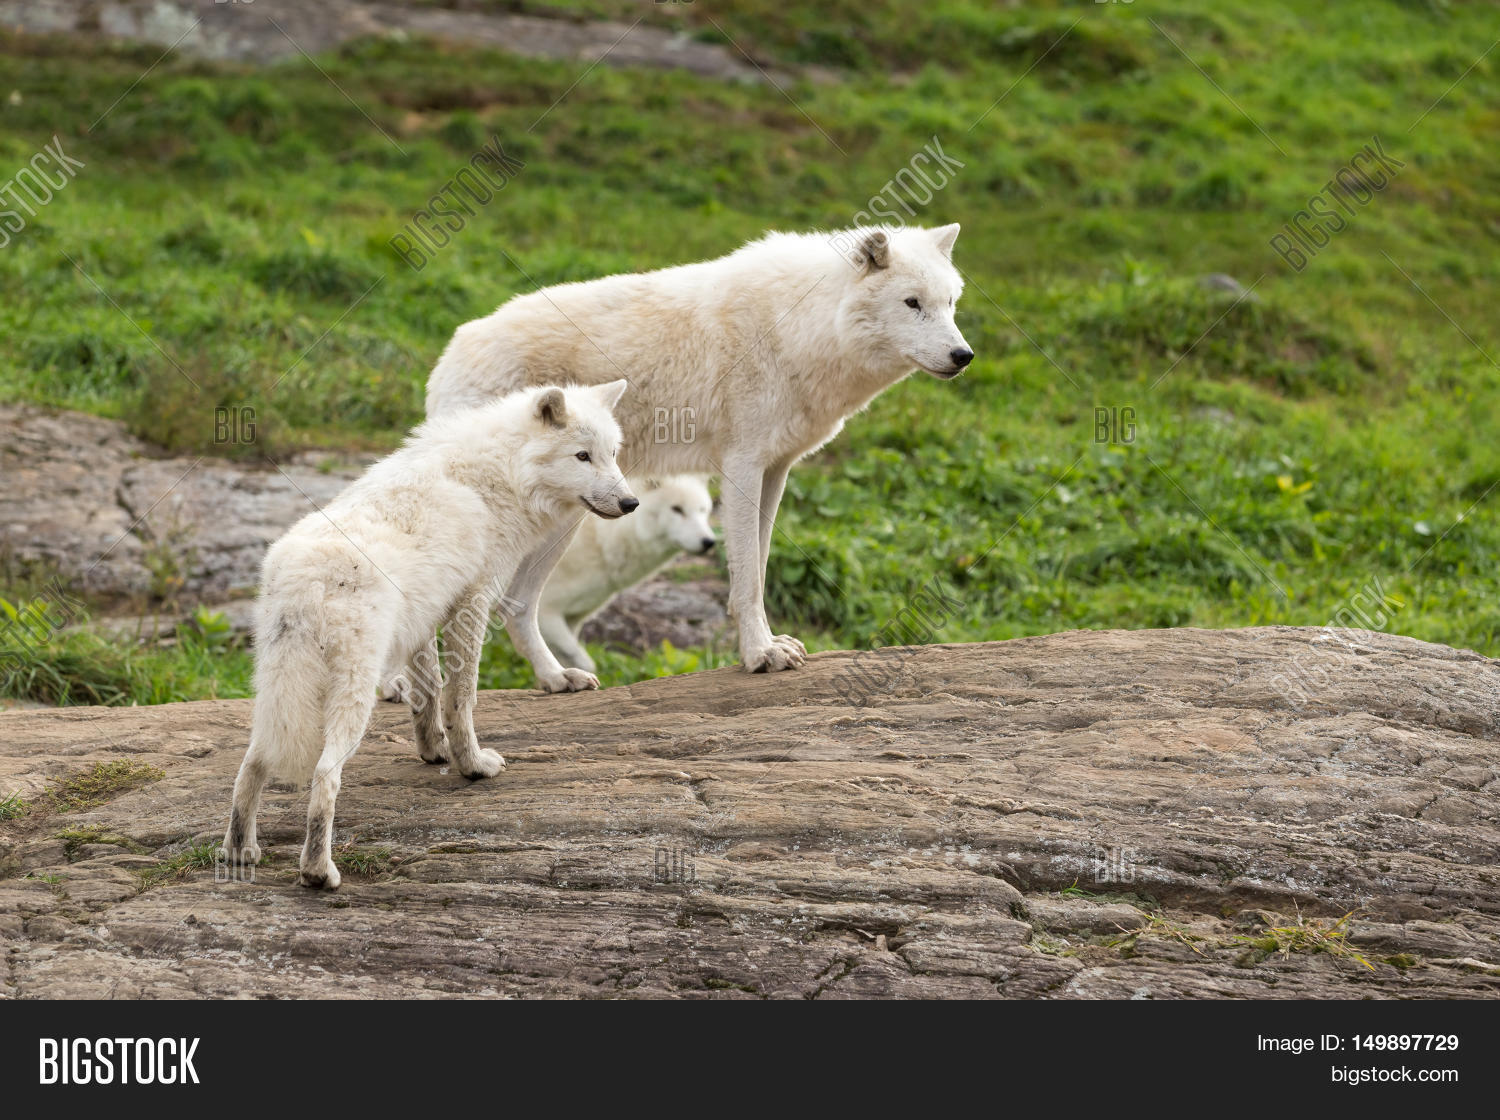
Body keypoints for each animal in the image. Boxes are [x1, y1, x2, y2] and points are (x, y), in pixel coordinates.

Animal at [221, 380, 634, 889]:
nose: (631, 503)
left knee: (250, 765)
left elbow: (429, 692)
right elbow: (462, 698)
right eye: (582, 456)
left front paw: (433, 751)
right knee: (324, 776)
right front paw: (472, 765)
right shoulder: (472, 603)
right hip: (351, 697)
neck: (501, 474)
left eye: (612, 454)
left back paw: (240, 852)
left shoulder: (427, 613)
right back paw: (318, 871)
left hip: (278, 691)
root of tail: (307, 578)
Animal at [537, 474, 716, 672]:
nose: (708, 542)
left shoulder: (573, 617)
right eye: (677, 509)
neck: (603, 539)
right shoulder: (545, 612)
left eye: (702, 510)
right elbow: (584, 662)